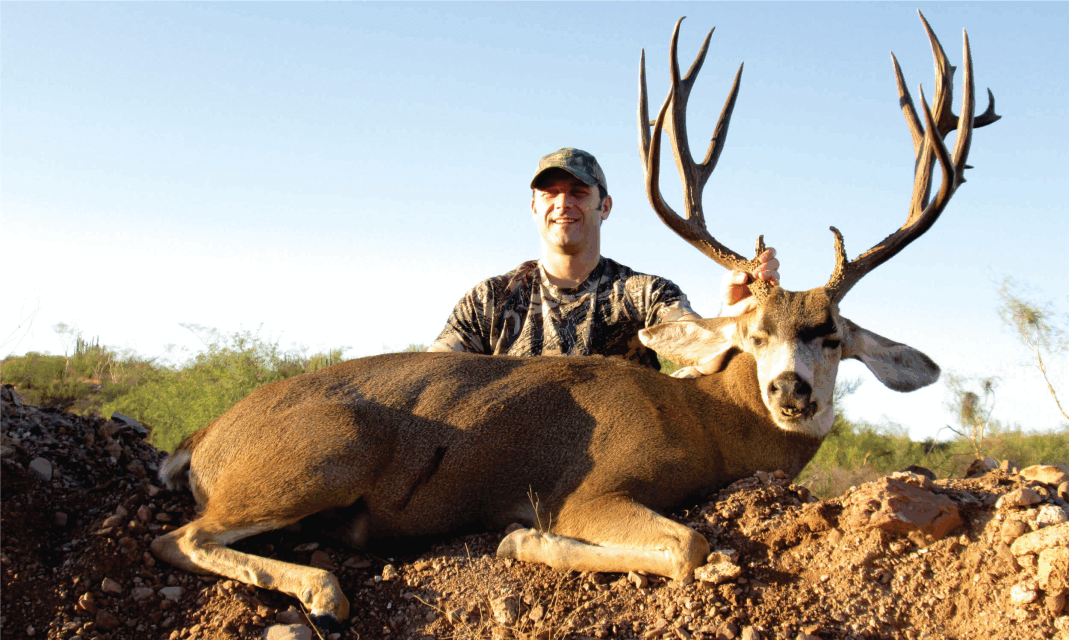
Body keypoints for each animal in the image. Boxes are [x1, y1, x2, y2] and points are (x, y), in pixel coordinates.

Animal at [150, 12, 999, 630]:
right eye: (754, 333)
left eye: (830, 334)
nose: (792, 394)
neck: (701, 420)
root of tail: (203, 436)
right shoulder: (590, 483)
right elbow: (688, 542)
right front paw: (526, 537)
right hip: (331, 447)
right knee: (177, 536)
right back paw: (323, 592)